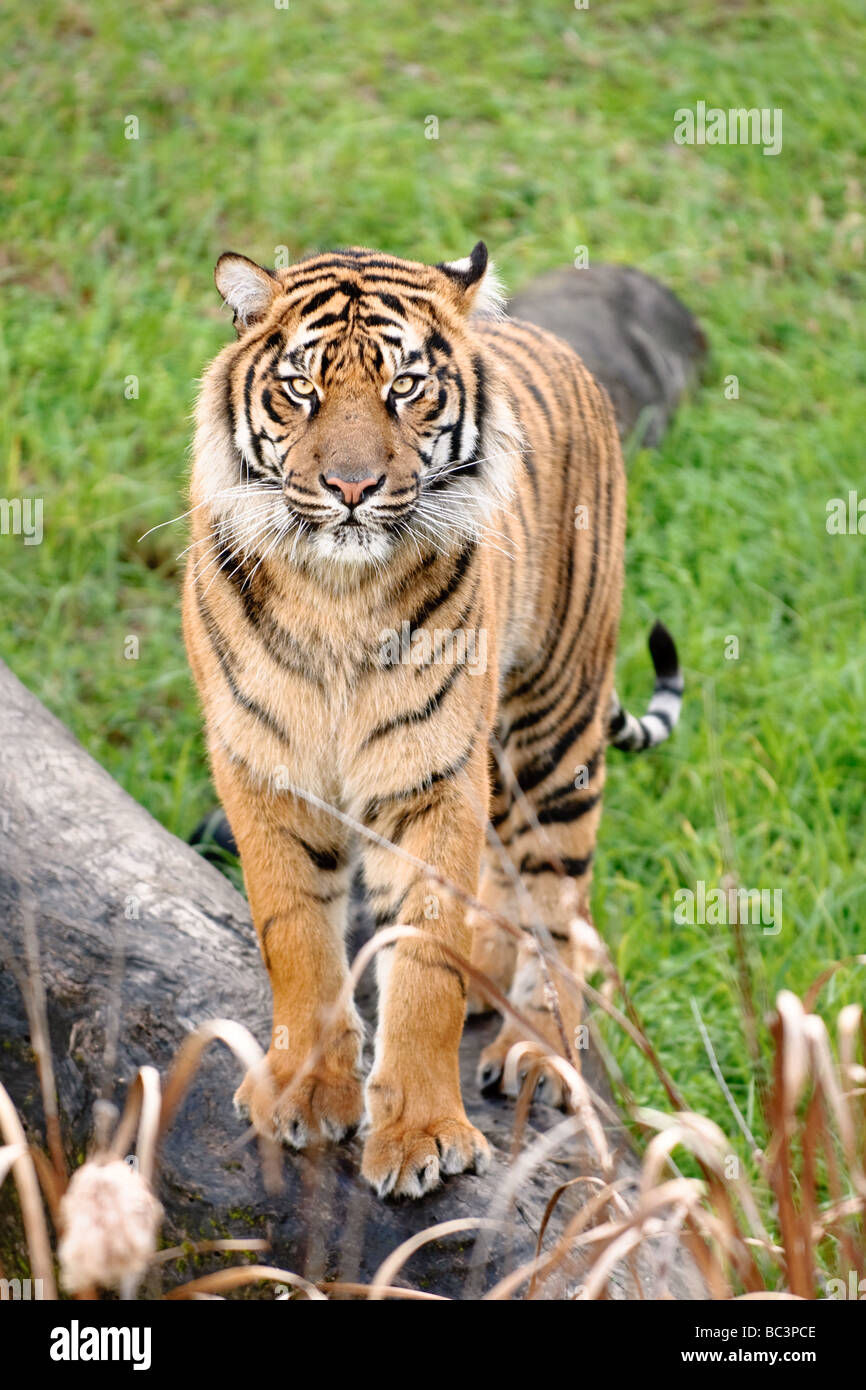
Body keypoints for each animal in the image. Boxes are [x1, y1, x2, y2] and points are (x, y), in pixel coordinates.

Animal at [182, 240, 683, 1199]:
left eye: (405, 387)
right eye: (300, 387)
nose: (350, 487)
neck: (335, 594)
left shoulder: (431, 779)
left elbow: (423, 971)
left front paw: (422, 1137)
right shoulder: (263, 768)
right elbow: (298, 941)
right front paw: (302, 1094)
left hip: (555, 728)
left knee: (563, 906)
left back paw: (535, 1046)